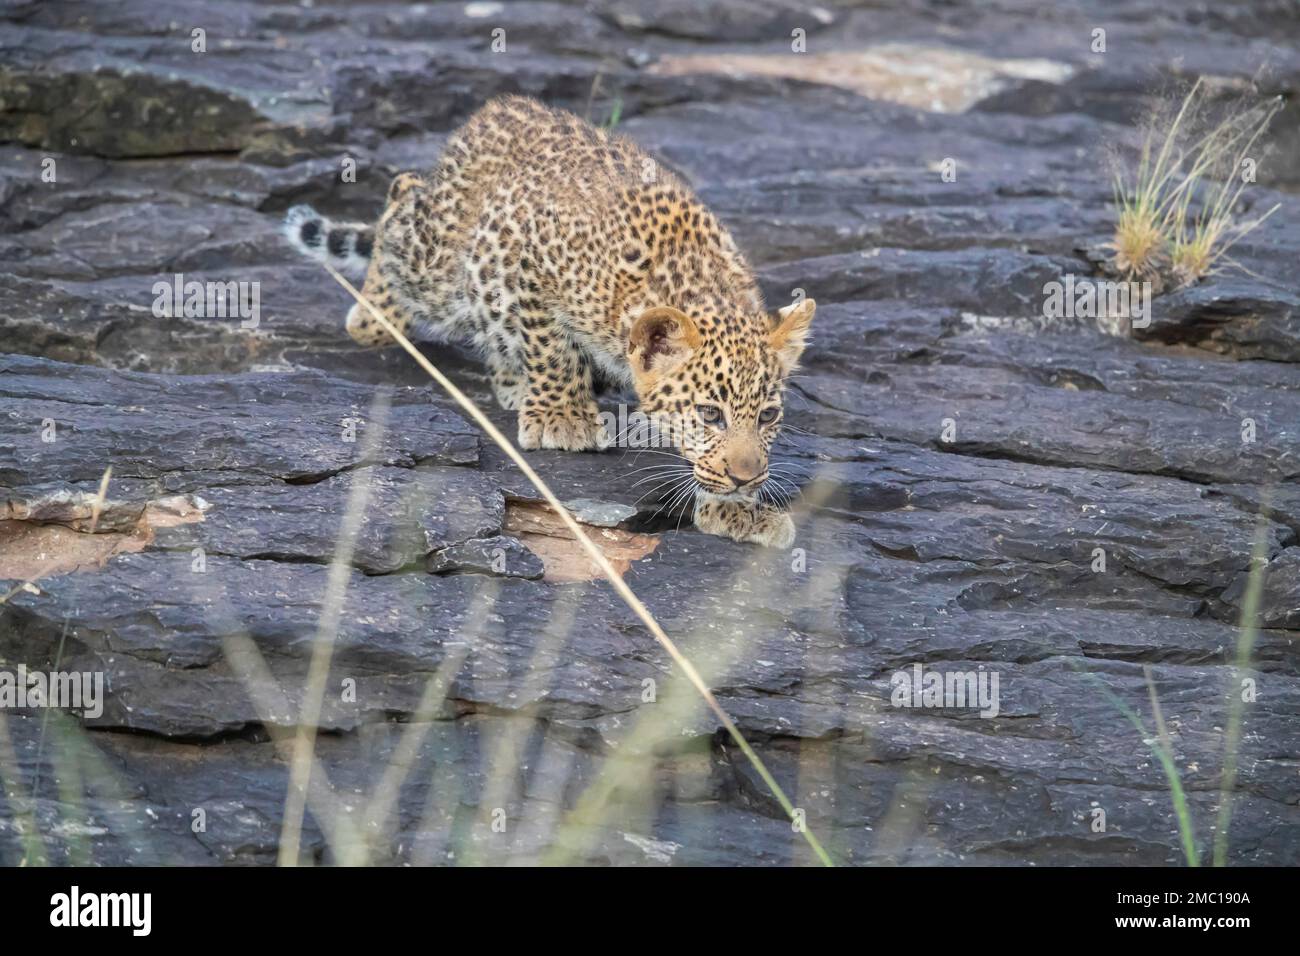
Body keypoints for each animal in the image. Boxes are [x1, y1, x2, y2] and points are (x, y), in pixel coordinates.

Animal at [284, 95, 815, 548]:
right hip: (441, 263)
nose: (746, 478)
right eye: (709, 414)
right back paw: (375, 313)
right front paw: (563, 420)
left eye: (769, 416)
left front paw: (738, 510)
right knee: (402, 197)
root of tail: (498, 110)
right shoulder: (532, 260)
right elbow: (552, 349)